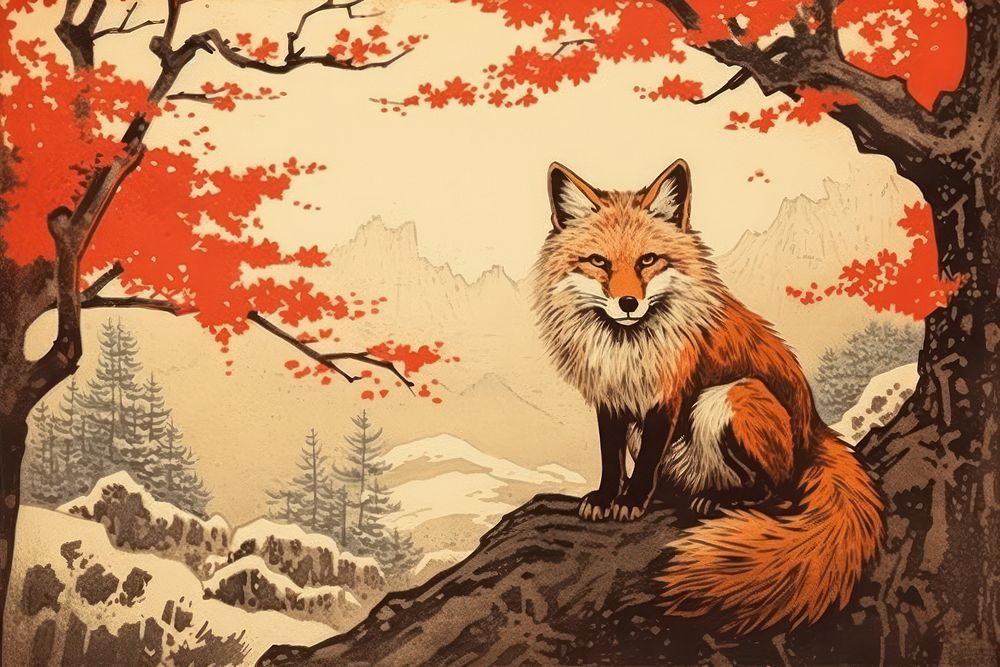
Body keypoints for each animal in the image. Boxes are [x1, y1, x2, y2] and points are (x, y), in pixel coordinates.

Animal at [531, 159, 884, 635]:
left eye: (648, 260)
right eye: (598, 262)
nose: (628, 304)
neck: (628, 351)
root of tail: (814, 428)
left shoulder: (669, 397)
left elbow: (644, 465)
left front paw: (631, 502)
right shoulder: (611, 400)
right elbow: (611, 459)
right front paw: (607, 497)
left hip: (727, 397)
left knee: (778, 487)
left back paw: (722, 499)